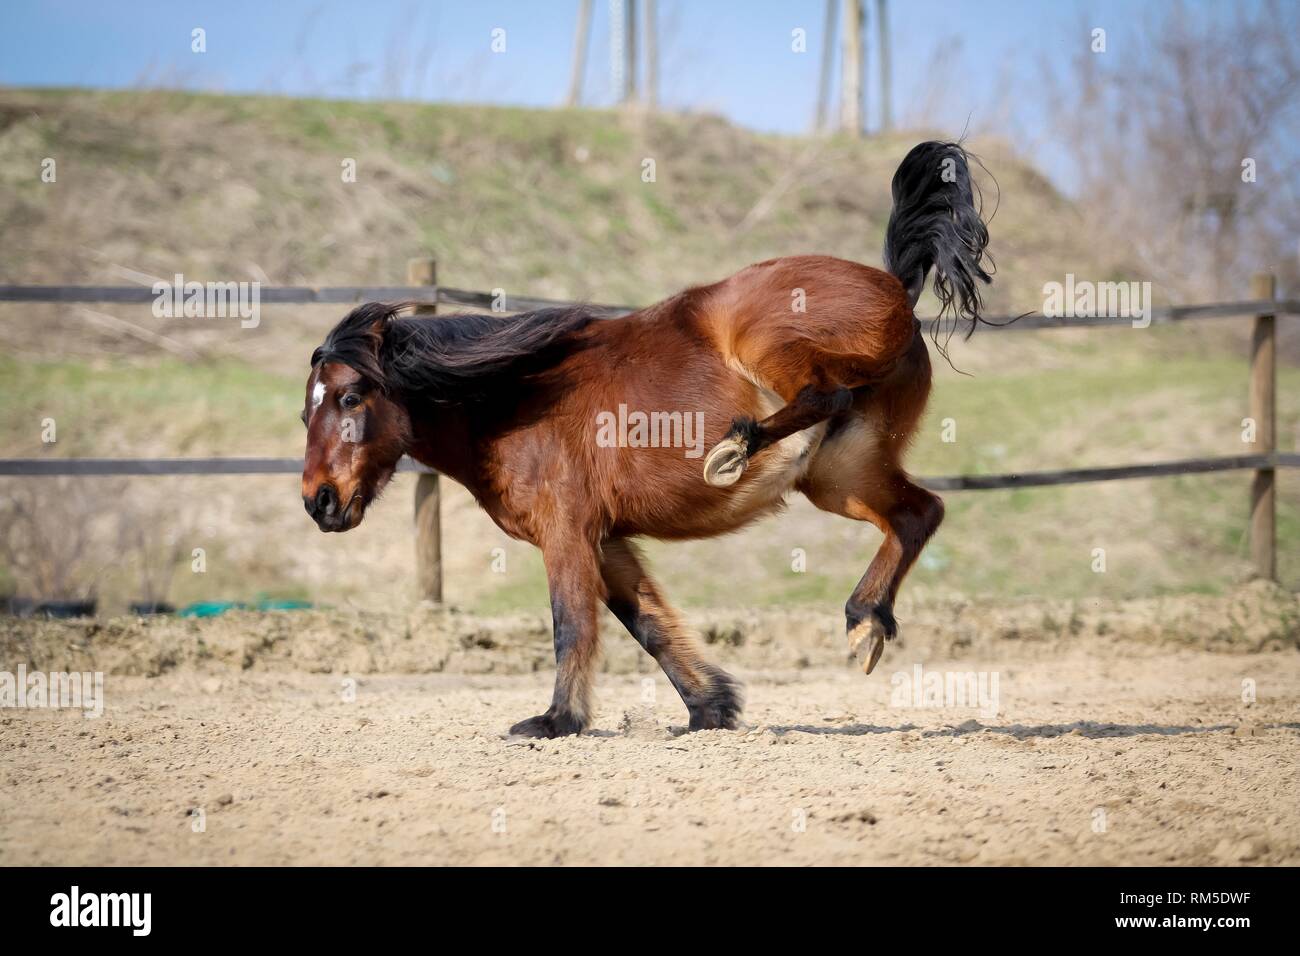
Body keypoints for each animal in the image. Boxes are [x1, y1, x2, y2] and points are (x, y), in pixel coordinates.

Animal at [301, 140, 992, 738]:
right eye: (305, 412)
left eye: (350, 398)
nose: (319, 502)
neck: (514, 401)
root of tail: (896, 287)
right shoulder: (607, 541)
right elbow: (647, 623)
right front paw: (710, 708)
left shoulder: (567, 532)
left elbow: (571, 623)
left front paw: (555, 722)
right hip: (841, 473)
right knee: (918, 512)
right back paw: (865, 623)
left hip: (772, 355)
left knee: (830, 404)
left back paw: (738, 452)